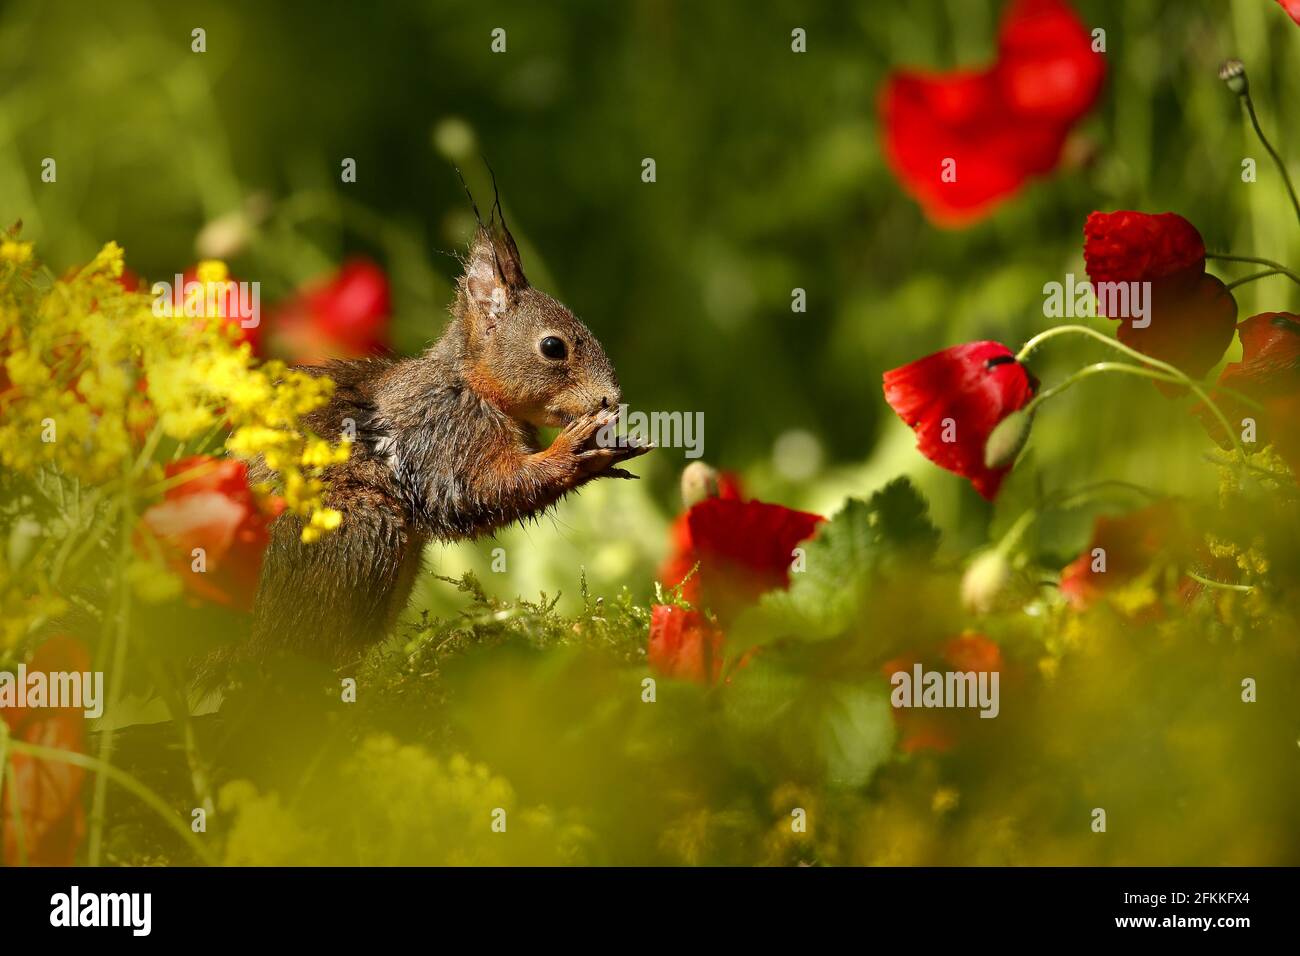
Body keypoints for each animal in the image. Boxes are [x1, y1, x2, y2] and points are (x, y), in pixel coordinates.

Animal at [246, 203, 650, 667]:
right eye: (553, 347)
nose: (612, 399)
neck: (471, 384)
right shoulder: (443, 433)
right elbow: (478, 490)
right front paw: (574, 452)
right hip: (358, 531)